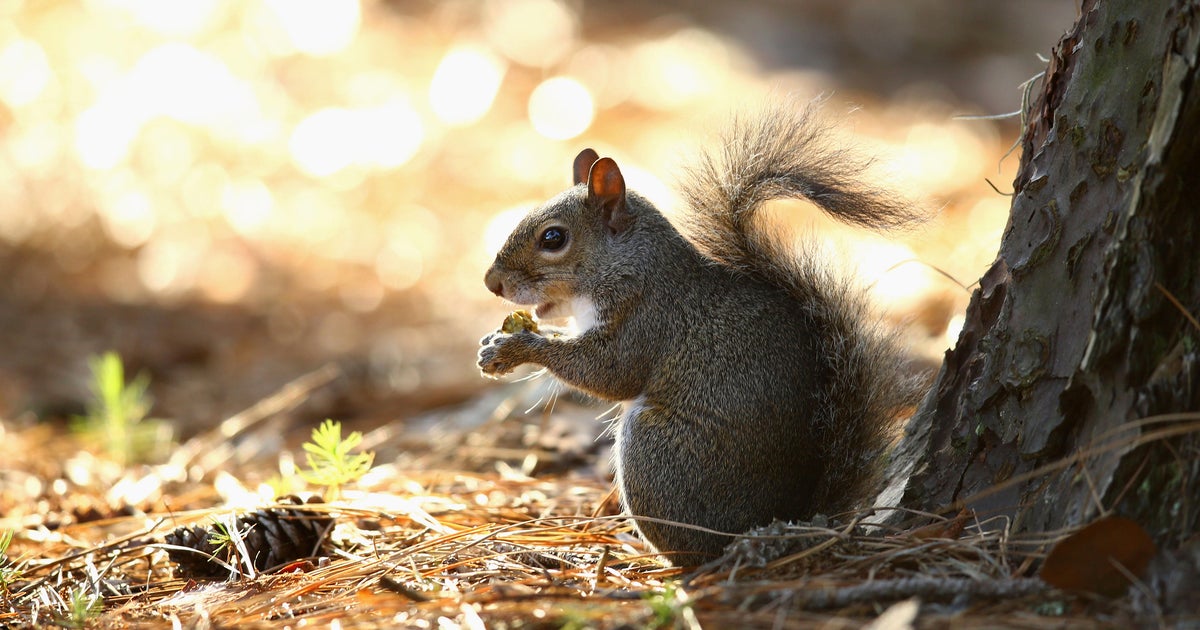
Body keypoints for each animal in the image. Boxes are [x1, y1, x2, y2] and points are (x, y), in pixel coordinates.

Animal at [477, 101, 928, 565]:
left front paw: (517, 347)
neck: (633, 263)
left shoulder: (648, 317)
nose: (492, 283)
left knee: (691, 550)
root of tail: (784, 519)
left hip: (654, 451)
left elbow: (610, 373)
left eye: (553, 238)